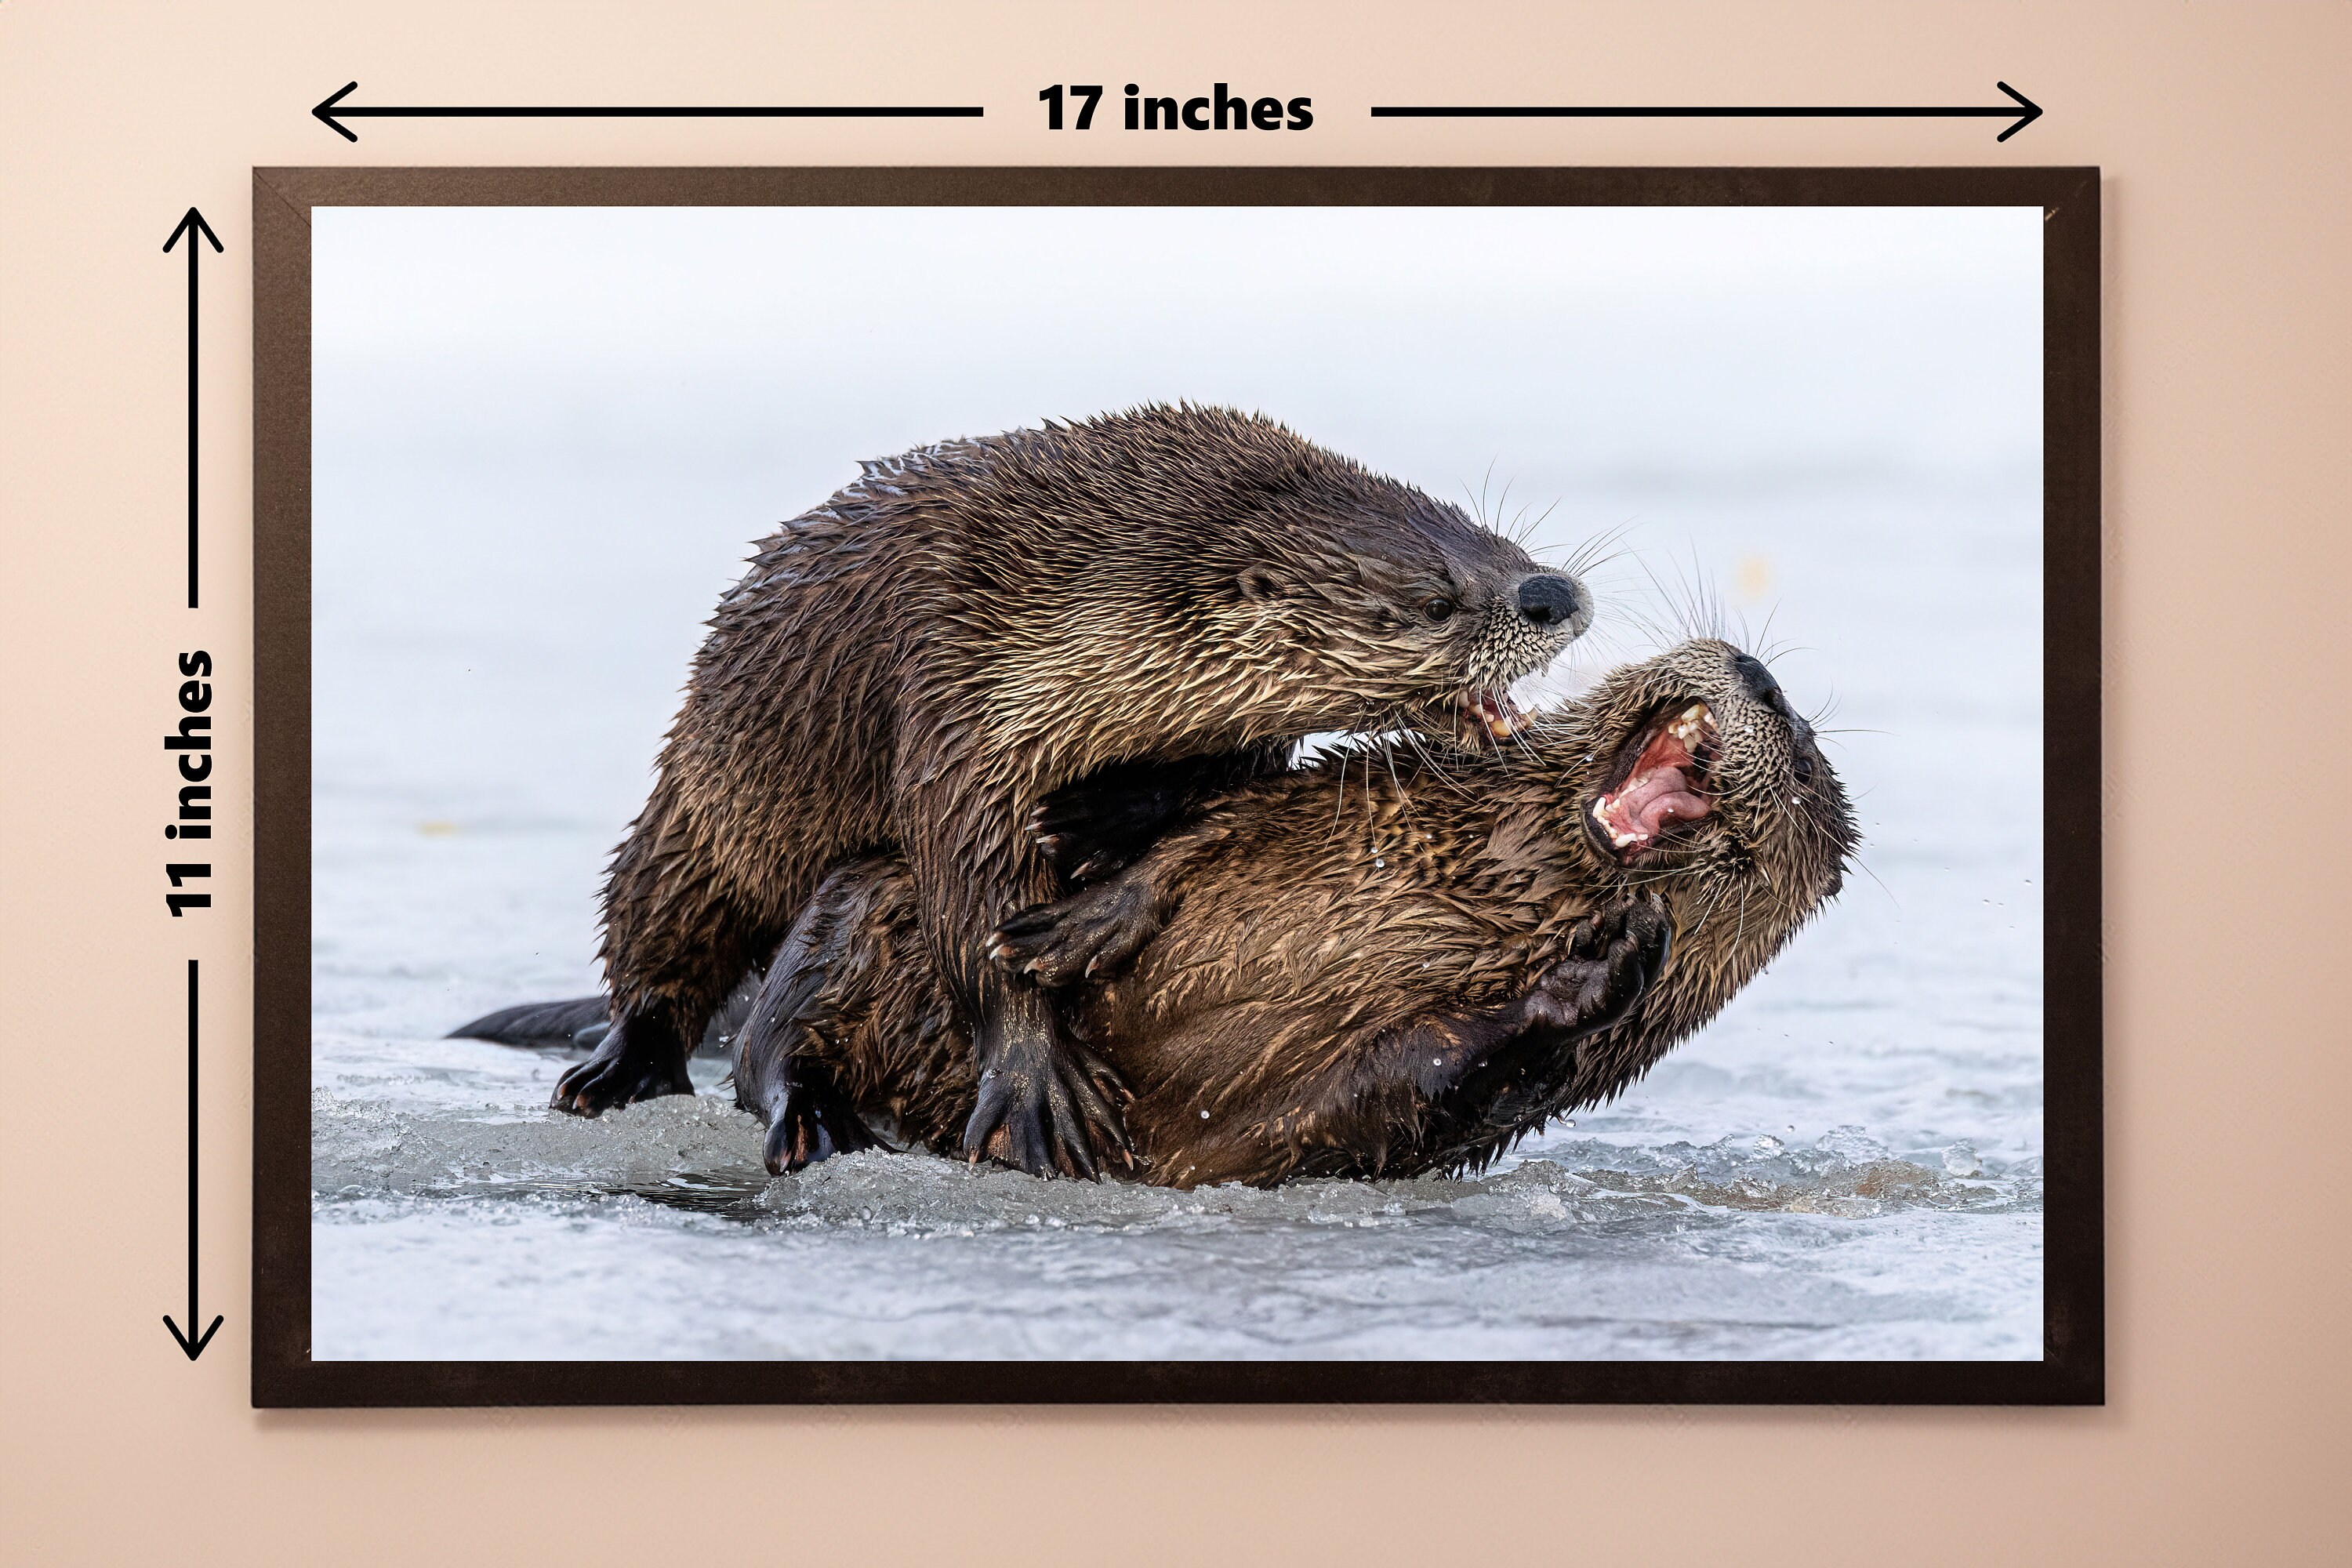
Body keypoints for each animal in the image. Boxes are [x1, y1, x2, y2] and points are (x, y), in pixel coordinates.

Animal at [545, 405, 1591, 1178]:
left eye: (1498, 541)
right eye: (1436, 601)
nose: (1554, 594)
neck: (1082, 598)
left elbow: (1237, 772)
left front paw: (1099, 819)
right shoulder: (955, 678)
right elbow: (967, 884)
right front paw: (1032, 1078)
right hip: (706, 796)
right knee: (663, 930)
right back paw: (629, 1073)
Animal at [732, 638, 1858, 1186]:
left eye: (1803, 762)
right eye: (1786, 713)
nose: (1759, 674)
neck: (1447, 894)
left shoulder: (1402, 1114)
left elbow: (1381, 1090)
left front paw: (1619, 955)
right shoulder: (1348, 801)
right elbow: (1206, 828)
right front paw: (1076, 921)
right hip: (860, 912)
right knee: (777, 1036)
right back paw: (812, 1122)